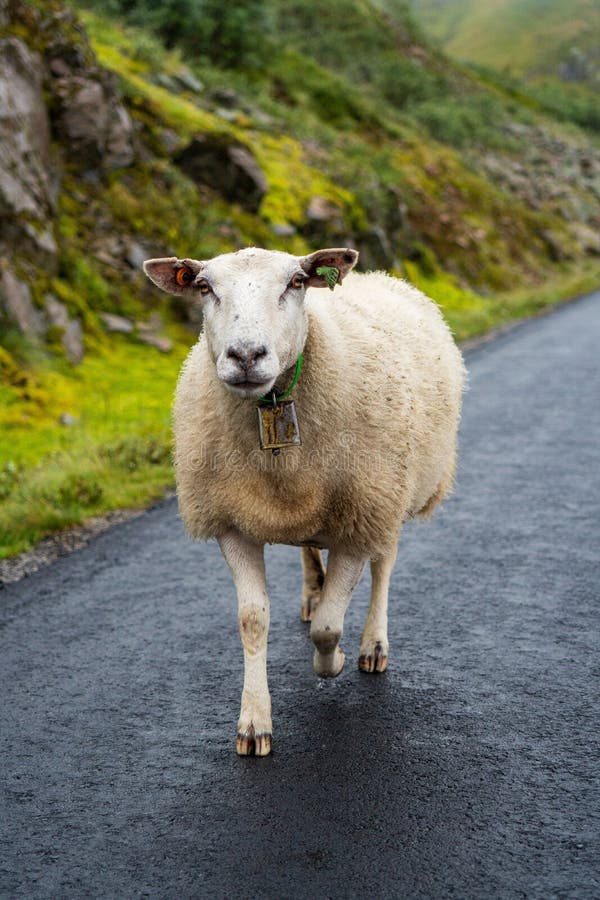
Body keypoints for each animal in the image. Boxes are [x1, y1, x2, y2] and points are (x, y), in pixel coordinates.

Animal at [143, 246, 465, 756]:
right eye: (204, 287)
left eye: (295, 282)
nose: (246, 355)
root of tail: (379, 277)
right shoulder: (232, 523)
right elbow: (252, 620)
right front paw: (254, 723)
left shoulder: (361, 515)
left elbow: (329, 627)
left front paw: (331, 664)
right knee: (313, 550)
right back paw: (314, 591)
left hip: (390, 496)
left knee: (384, 564)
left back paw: (373, 645)